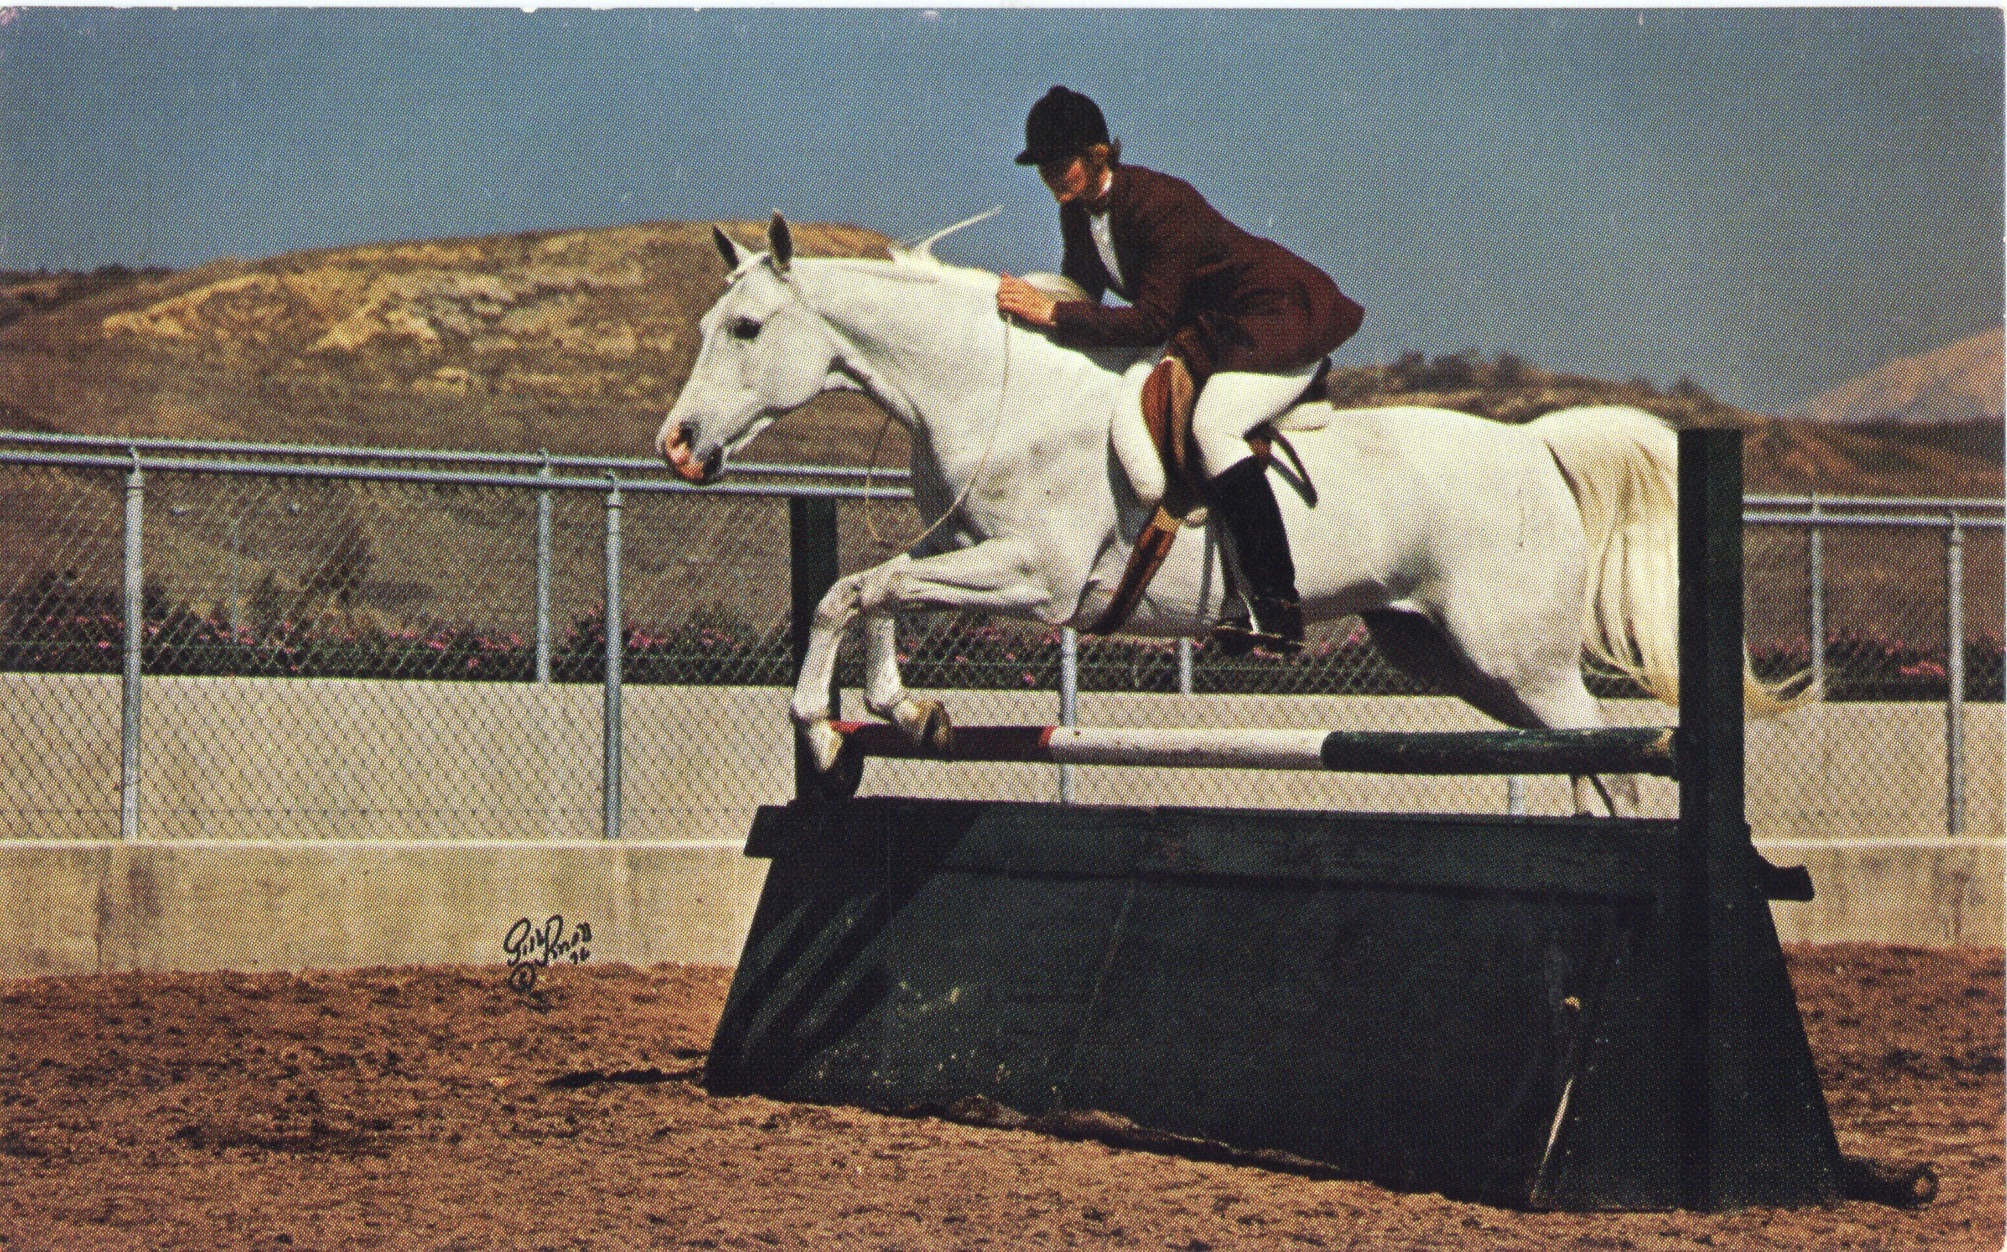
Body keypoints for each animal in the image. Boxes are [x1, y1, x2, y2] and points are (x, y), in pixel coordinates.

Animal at [658, 213, 1798, 814]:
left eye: (747, 328)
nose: (678, 444)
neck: (991, 388)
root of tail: (1534, 446)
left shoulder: (1036, 580)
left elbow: (854, 591)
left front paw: (818, 724)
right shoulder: (973, 553)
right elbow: (875, 590)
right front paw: (901, 711)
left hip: (1518, 655)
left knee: (1608, 757)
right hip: (1453, 659)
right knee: (1579, 756)